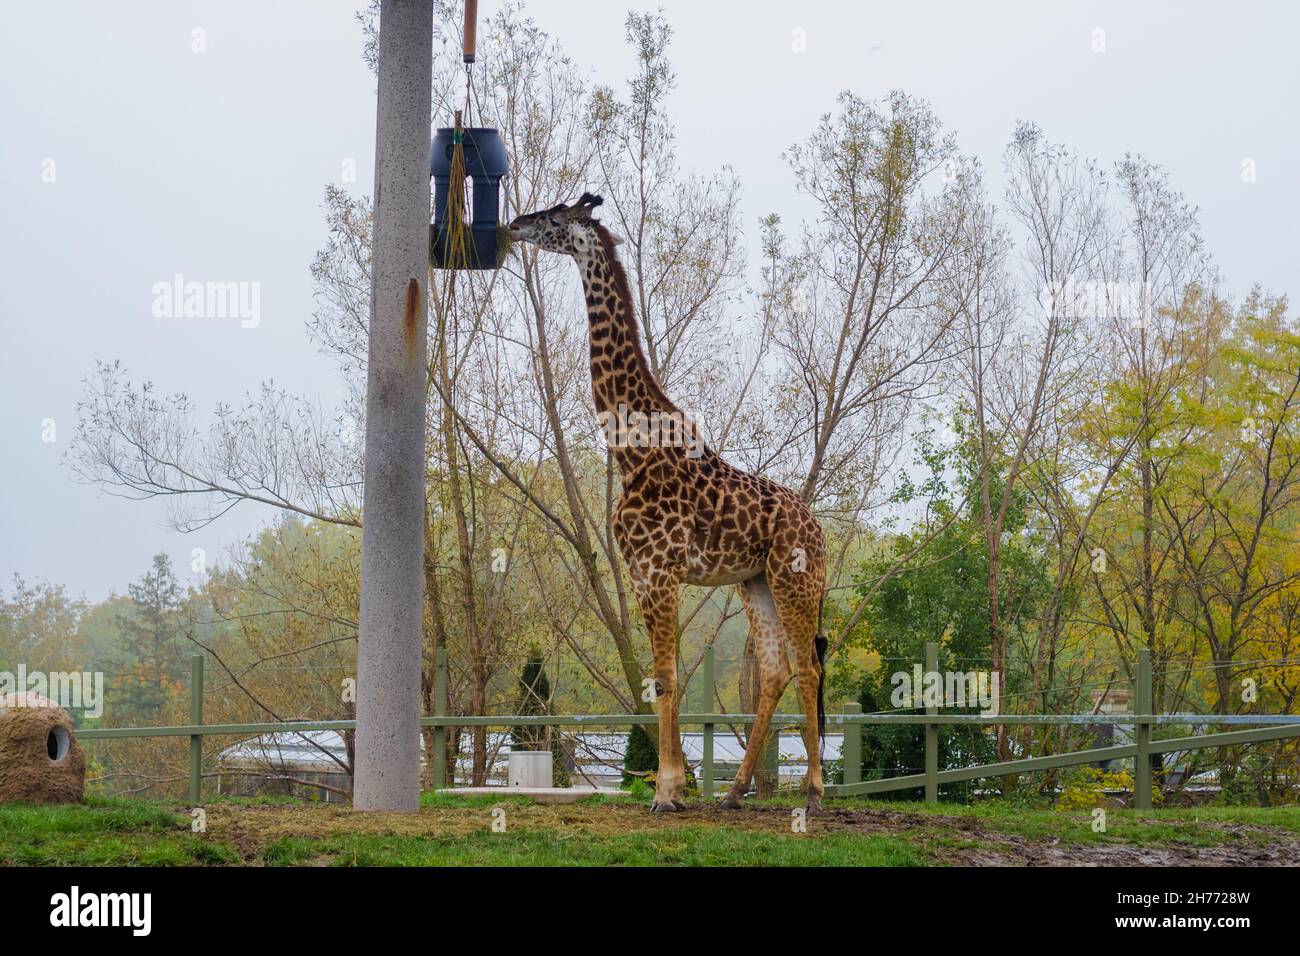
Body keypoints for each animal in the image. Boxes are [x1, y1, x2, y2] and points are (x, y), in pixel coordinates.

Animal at [509, 193, 829, 812]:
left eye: (555, 217)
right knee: (775, 671)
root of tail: (819, 528)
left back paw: (814, 790)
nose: (514, 224)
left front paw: (664, 791)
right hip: (753, 582)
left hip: (795, 579)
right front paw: (679, 788)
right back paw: (733, 792)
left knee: (807, 668)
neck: (629, 446)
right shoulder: (642, 571)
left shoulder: (660, 569)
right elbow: (661, 677)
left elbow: (666, 677)